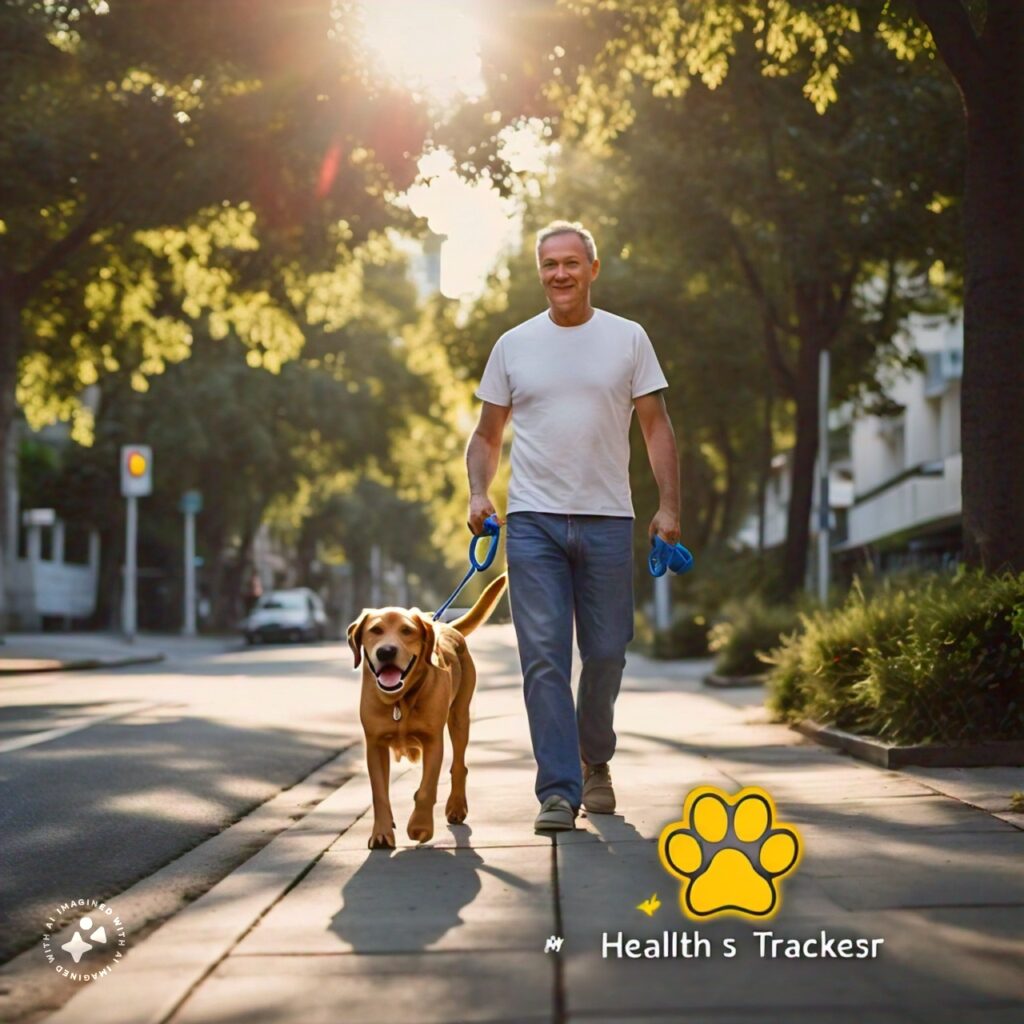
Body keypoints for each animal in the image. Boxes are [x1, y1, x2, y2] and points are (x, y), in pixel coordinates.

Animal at [348, 577, 507, 847]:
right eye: (375, 630)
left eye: (407, 631)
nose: (386, 651)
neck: (400, 700)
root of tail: (444, 626)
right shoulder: (375, 744)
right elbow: (379, 792)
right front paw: (381, 833)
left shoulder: (433, 741)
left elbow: (427, 788)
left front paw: (420, 826)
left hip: (459, 718)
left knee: (459, 765)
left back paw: (456, 806)